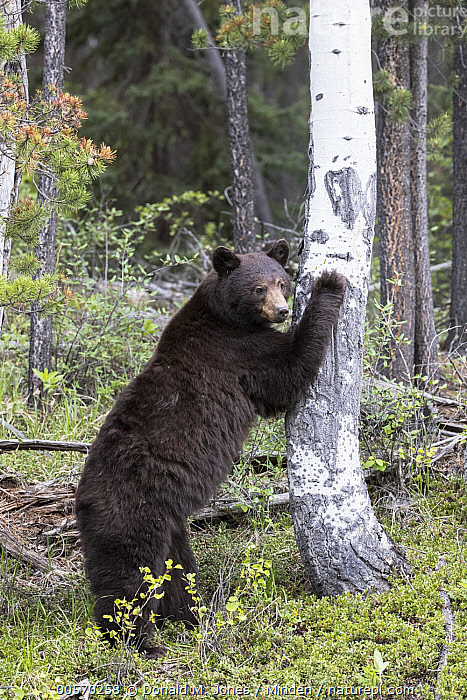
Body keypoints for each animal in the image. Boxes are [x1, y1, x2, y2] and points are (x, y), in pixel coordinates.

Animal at [75, 239, 347, 658]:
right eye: (258, 288)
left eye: (282, 282)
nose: (283, 310)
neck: (226, 315)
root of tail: (82, 500)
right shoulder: (240, 352)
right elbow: (288, 371)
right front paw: (330, 283)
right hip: (134, 512)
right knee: (131, 578)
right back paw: (137, 641)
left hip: (171, 525)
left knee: (177, 574)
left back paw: (191, 617)